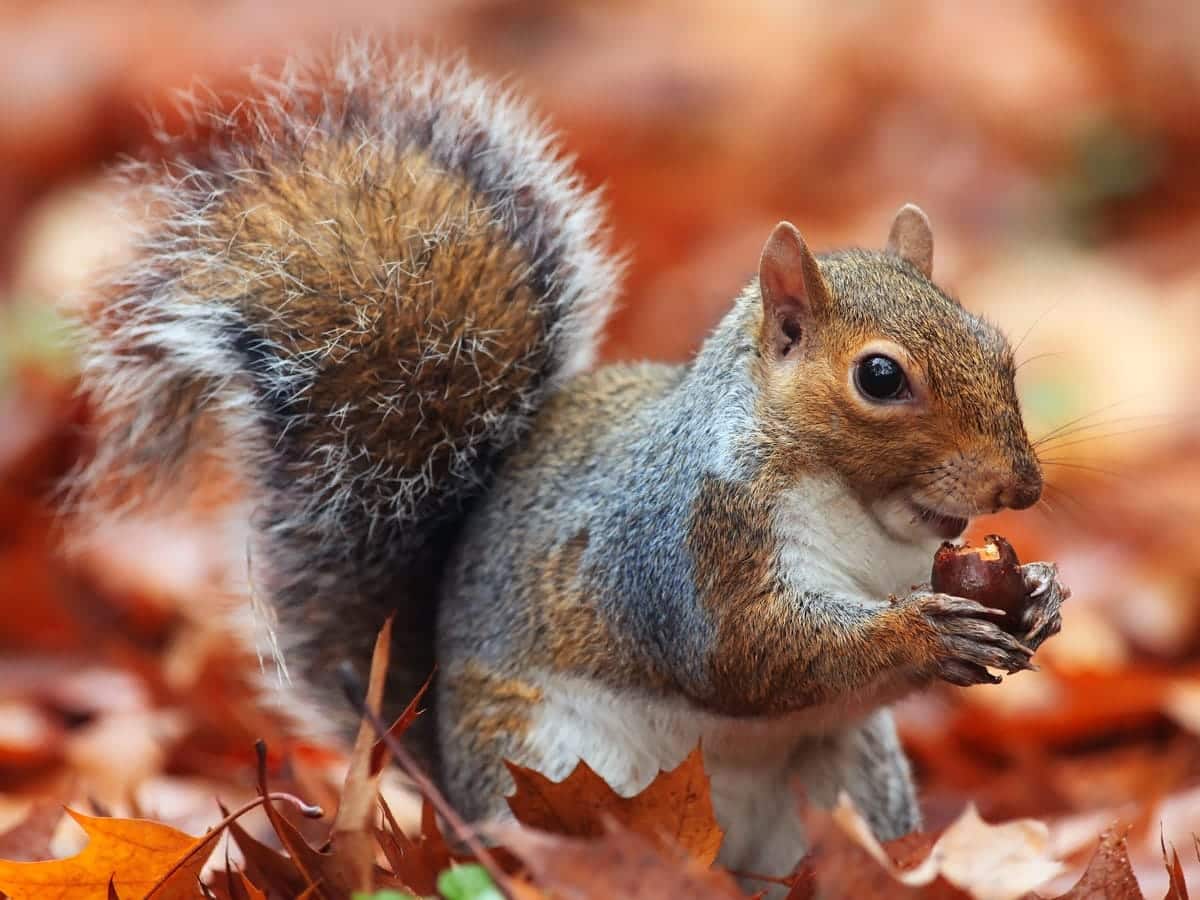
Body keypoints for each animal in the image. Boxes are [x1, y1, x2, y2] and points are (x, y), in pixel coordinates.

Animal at [75, 45, 1066, 882]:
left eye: (995, 346)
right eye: (879, 377)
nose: (1021, 487)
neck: (865, 518)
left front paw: (1040, 596)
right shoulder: (683, 549)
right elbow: (750, 655)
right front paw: (924, 633)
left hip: (848, 781)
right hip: (550, 768)